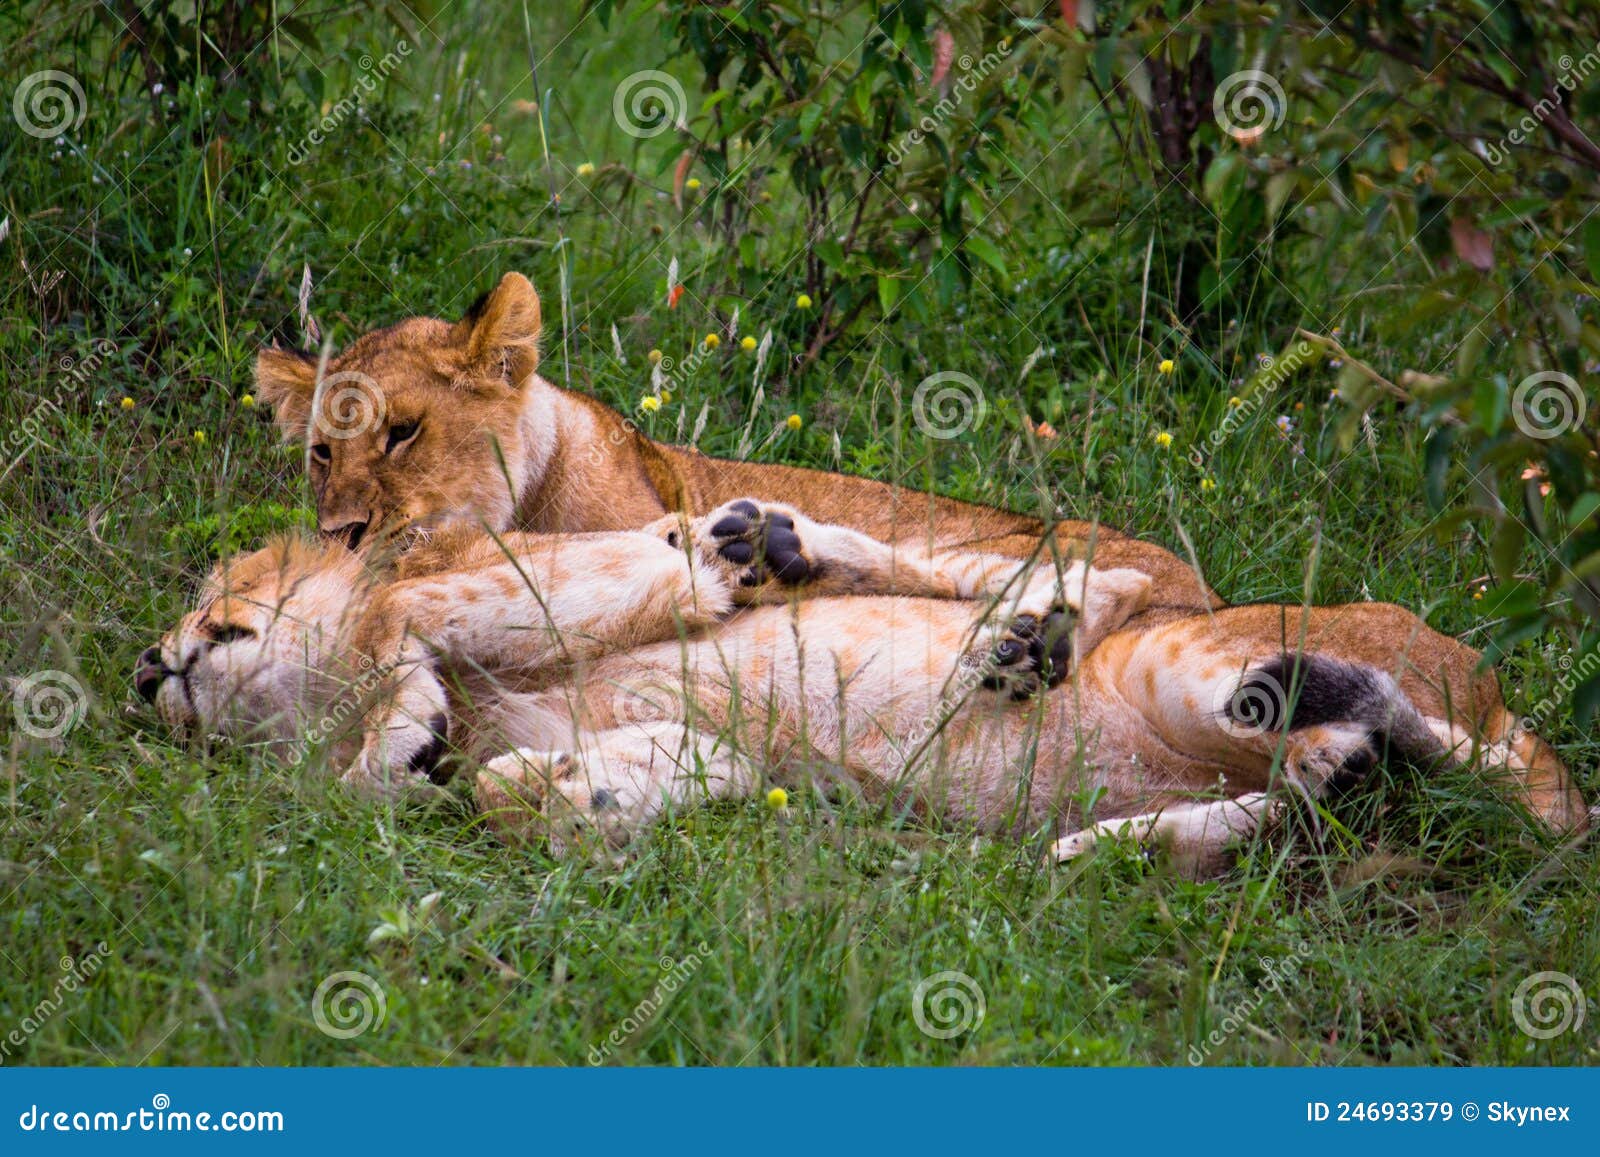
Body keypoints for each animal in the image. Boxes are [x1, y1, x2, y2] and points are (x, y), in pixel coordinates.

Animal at [134, 499, 1588, 872]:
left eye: (210, 593)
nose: (149, 664)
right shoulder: (711, 749)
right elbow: (528, 789)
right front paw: (554, 793)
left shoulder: (533, 562)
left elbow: (404, 615)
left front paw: (402, 733)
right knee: (1317, 802)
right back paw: (1100, 849)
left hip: (1195, 661)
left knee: (1371, 742)